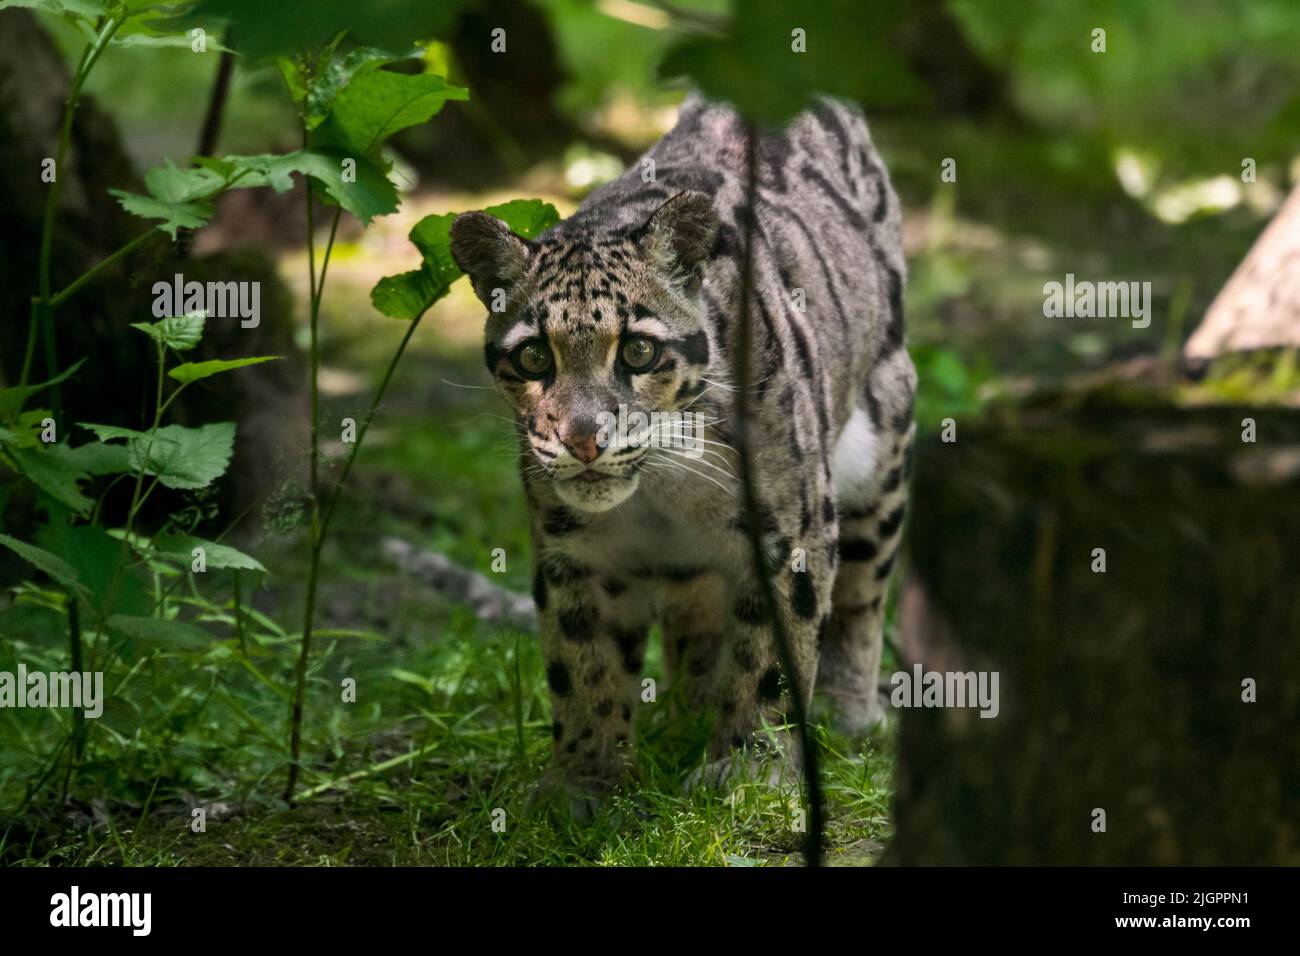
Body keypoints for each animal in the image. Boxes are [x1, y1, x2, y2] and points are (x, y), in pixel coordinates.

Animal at [449, 94, 916, 806]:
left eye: (639, 350)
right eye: (533, 358)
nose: (584, 438)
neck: (664, 486)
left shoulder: (791, 532)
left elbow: (774, 657)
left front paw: (749, 768)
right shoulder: (574, 552)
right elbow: (581, 662)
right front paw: (583, 781)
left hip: (883, 433)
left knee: (864, 587)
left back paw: (845, 709)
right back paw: (686, 710)